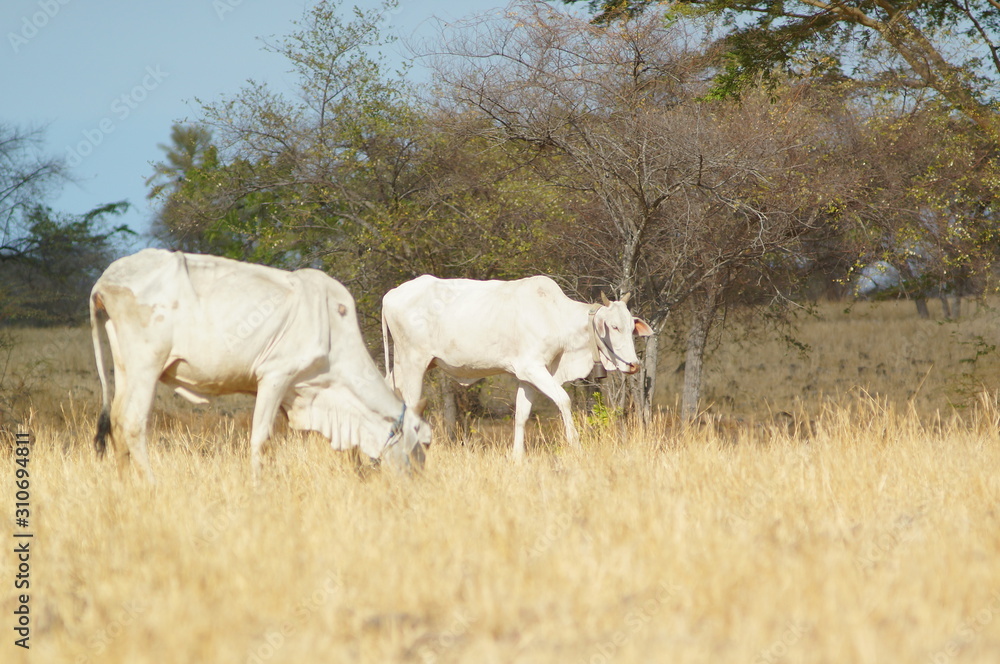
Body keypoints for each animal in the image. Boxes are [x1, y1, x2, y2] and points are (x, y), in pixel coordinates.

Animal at [90, 248, 431, 483]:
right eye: (421, 447)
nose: (419, 483)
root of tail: (105, 280)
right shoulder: (276, 376)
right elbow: (260, 437)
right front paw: (258, 485)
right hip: (146, 366)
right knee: (133, 423)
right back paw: (151, 484)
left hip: (125, 367)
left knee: (117, 423)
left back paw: (124, 485)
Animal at [381, 275, 652, 458]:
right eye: (614, 326)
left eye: (631, 327)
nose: (634, 365)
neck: (554, 316)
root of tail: (390, 294)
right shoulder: (534, 368)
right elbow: (563, 400)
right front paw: (576, 446)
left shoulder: (527, 375)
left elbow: (521, 414)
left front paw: (517, 457)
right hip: (414, 363)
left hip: (405, 366)